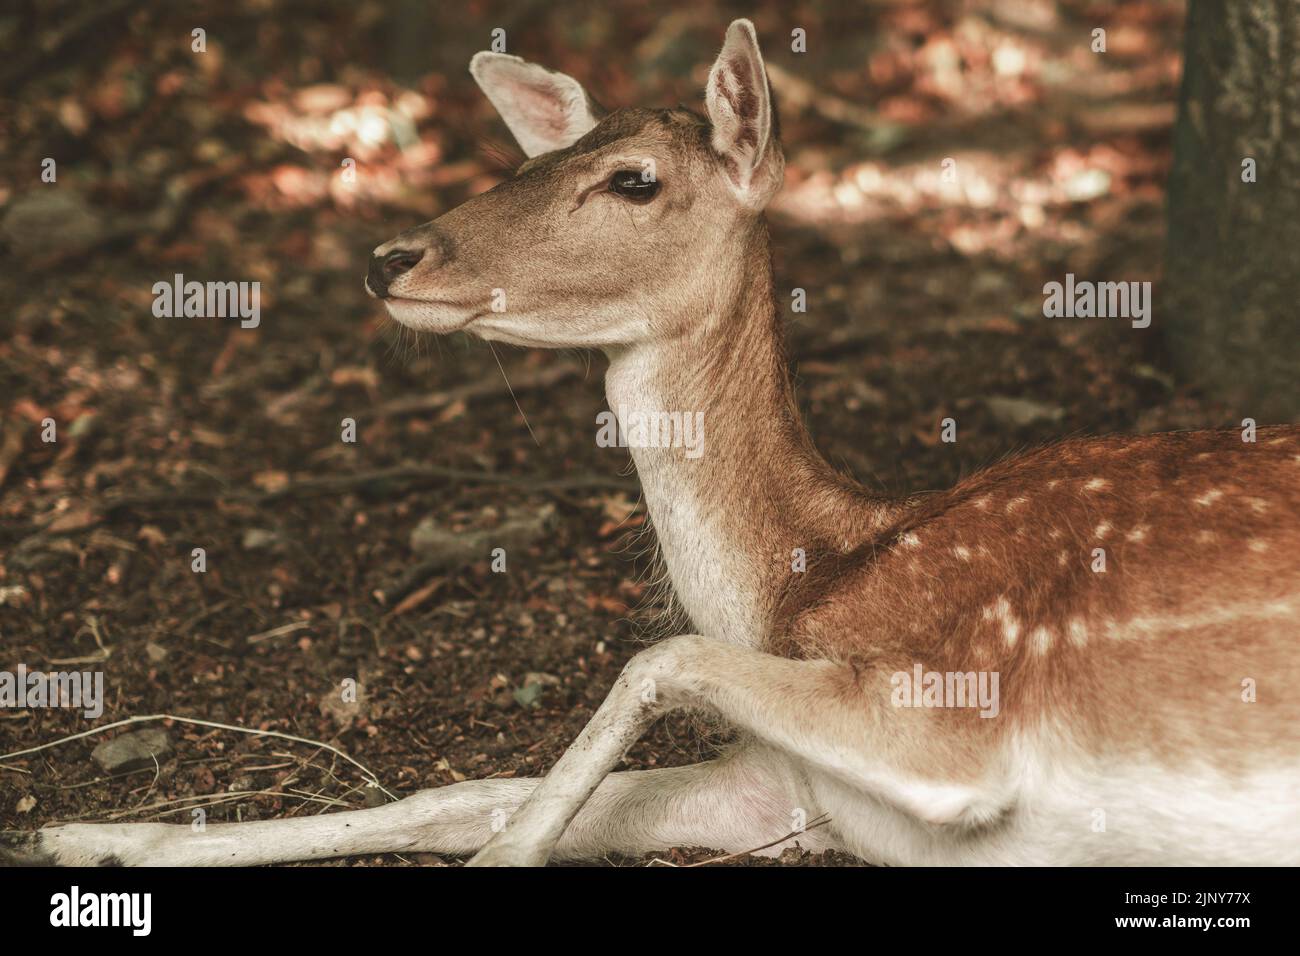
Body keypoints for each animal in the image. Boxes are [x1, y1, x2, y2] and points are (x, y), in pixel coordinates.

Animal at [4, 19, 1298, 868]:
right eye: (529, 159)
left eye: (631, 180)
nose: (391, 257)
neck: (807, 571)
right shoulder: (785, 789)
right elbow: (469, 783)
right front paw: (84, 831)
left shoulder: (961, 718)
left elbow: (654, 655)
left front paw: (502, 862)